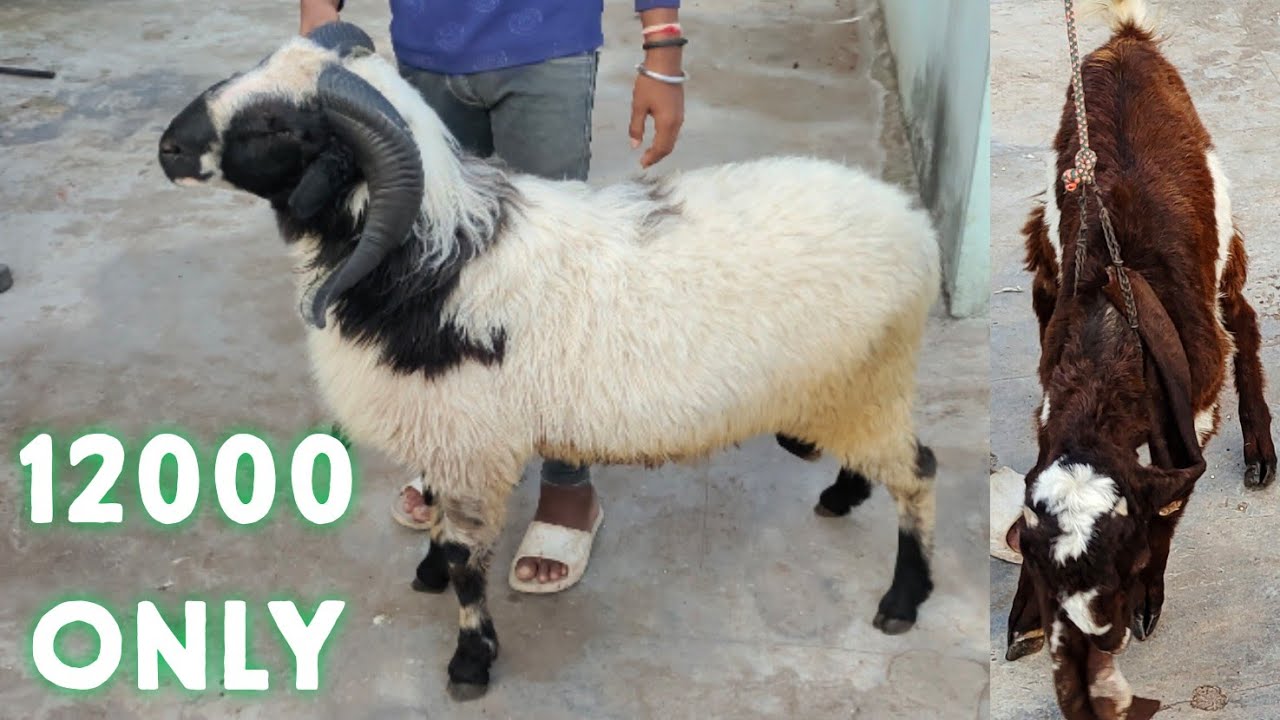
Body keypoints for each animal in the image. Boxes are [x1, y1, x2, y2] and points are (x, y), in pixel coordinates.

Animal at [157, 21, 943, 699]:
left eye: (279, 127)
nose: (168, 149)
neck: (430, 260)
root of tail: (912, 219)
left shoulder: (470, 441)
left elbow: (464, 557)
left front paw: (470, 661)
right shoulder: (447, 434)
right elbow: (440, 528)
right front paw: (427, 575)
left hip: (871, 380)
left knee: (919, 474)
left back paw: (902, 600)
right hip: (853, 386)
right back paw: (842, 495)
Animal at [1003, 1, 1276, 716]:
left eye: (1121, 564)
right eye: (1046, 577)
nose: (1103, 636)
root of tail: (1127, 43)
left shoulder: (1193, 410)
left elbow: (1170, 505)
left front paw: (1152, 599)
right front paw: (1022, 620)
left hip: (1219, 226)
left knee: (1243, 316)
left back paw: (1261, 450)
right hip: (1049, 245)